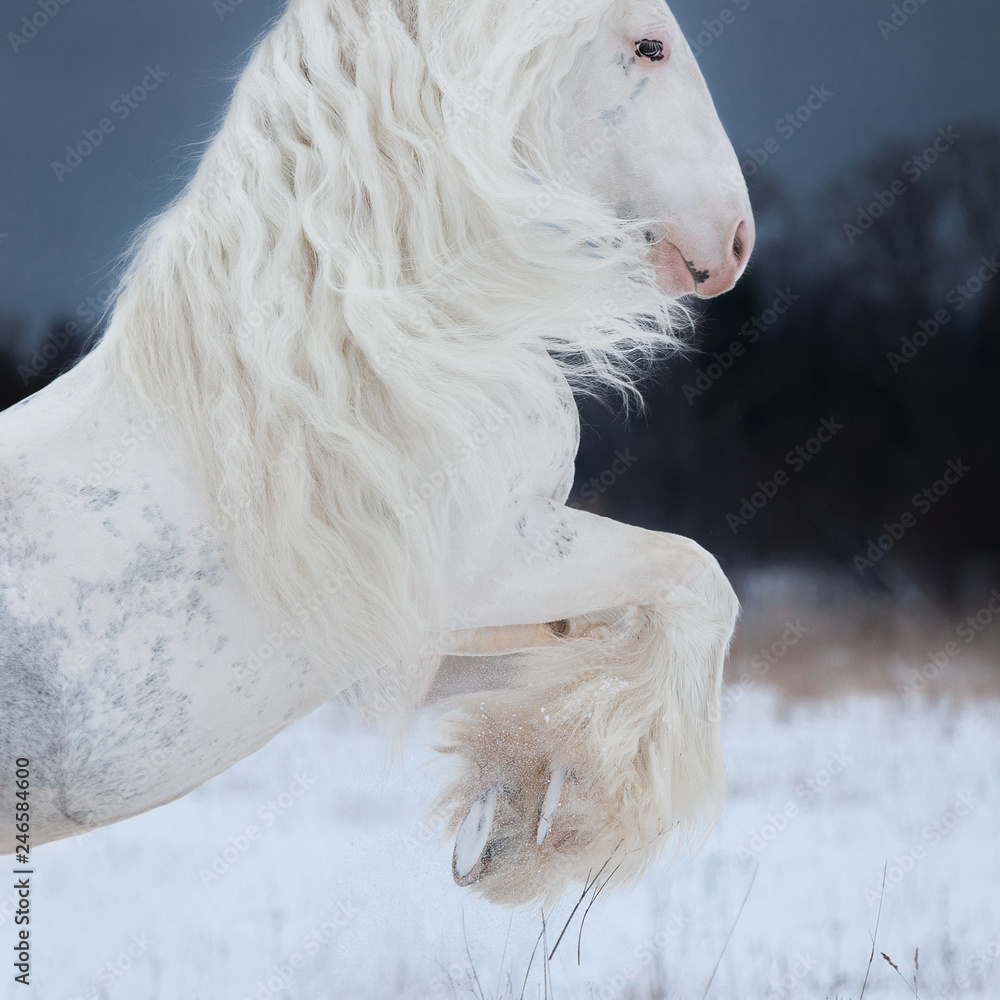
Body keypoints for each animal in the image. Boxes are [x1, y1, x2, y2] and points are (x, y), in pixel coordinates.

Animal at [0, 0, 751, 907]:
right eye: (649, 46)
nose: (736, 239)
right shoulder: (489, 562)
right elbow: (699, 580)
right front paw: (565, 820)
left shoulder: (432, 631)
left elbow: (608, 631)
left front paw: (511, 813)